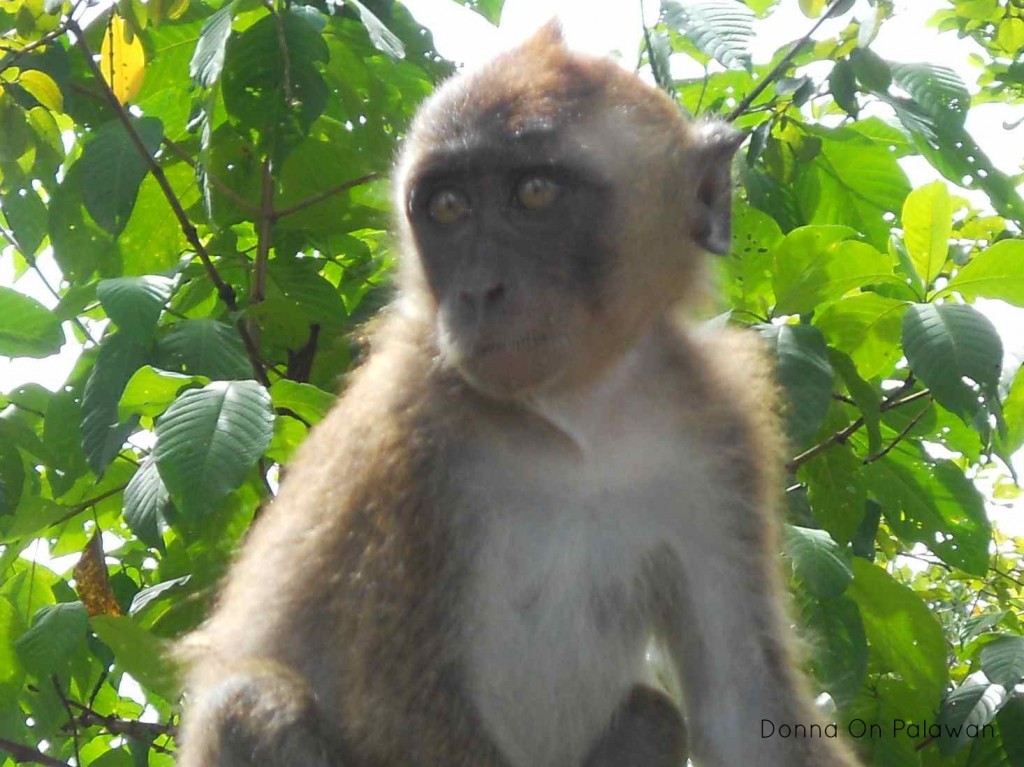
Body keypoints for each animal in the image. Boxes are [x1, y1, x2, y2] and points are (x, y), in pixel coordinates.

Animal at [174, 22, 864, 767]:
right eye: (448, 207)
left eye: (534, 193)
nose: (480, 290)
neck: (578, 421)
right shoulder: (406, 441)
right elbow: (389, 703)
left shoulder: (718, 432)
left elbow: (743, 698)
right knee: (251, 699)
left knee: (654, 715)